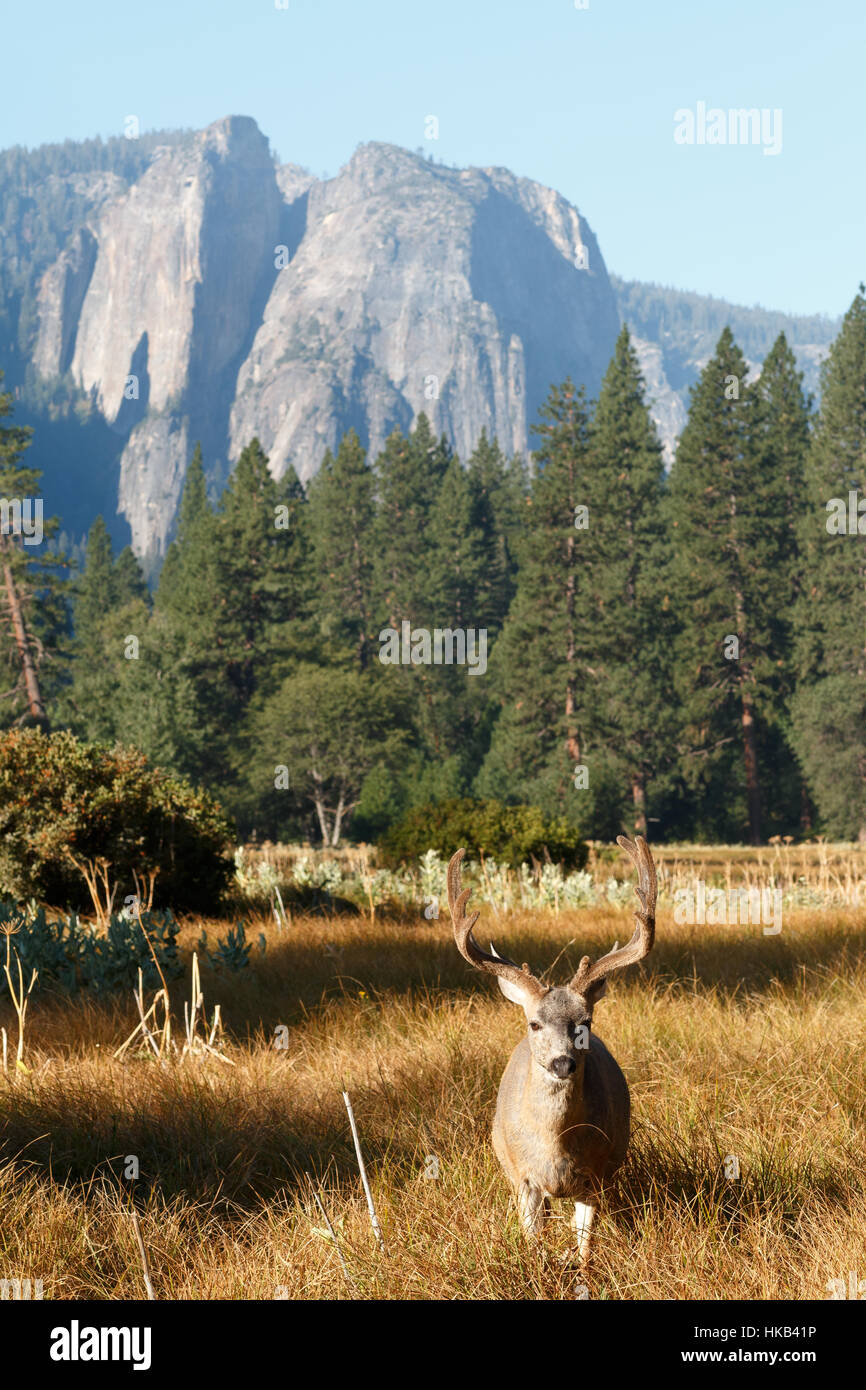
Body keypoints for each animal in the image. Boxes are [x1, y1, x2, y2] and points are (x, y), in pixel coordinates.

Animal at [447, 835, 656, 1264]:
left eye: (586, 1021)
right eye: (534, 1023)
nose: (562, 1063)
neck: (554, 1148)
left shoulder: (596, 1175)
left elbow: (585, 1245)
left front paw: (583, 1268)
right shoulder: (523, 1177)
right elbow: (533, 1242)